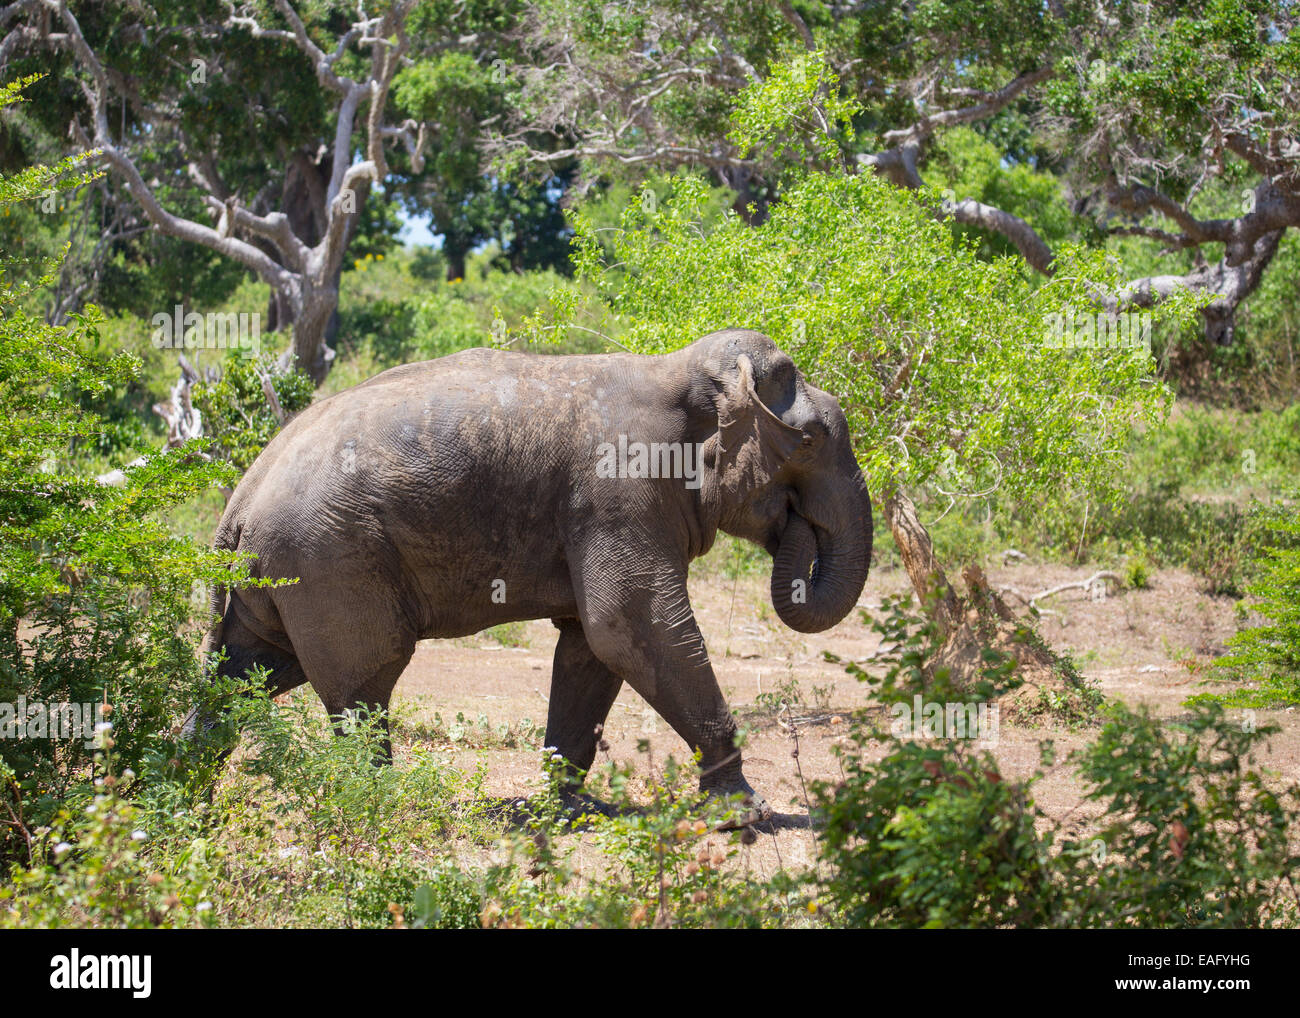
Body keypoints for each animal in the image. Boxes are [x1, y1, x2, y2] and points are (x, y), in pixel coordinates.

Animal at [188, 328, 873, 821]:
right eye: (809, 440)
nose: (797, 526)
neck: (677, 371)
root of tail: (238, 503)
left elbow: (592, 648)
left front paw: (570, 809)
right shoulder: (620, 489)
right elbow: (630, 625)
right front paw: (746, 815)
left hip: (281, 576)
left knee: (245, 678)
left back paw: (183, 799)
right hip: (329, 560)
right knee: (365, 677)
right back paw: (384, 805)